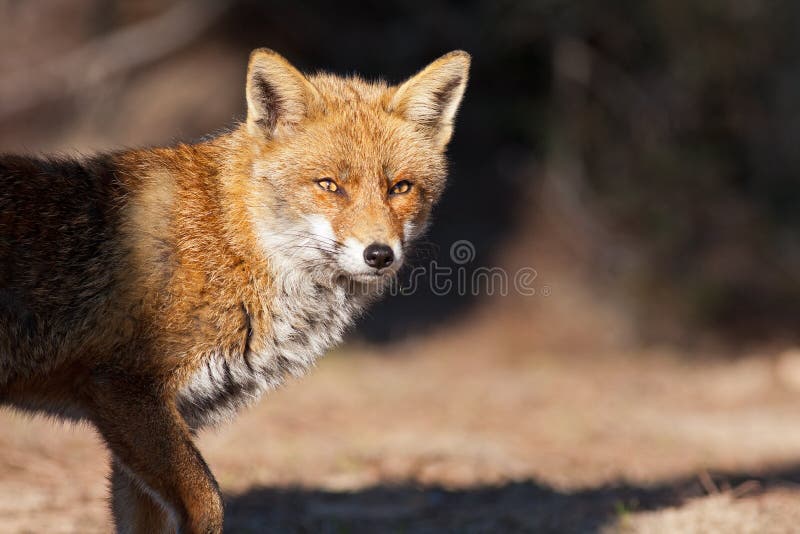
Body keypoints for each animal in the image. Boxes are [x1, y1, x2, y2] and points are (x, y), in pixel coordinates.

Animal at [0, 48, 469, 533]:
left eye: (400, 187)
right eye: (329, 185)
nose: (379, 254)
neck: (233, 243)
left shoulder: (158, 418)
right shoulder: (125, 390)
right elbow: (208, 502)